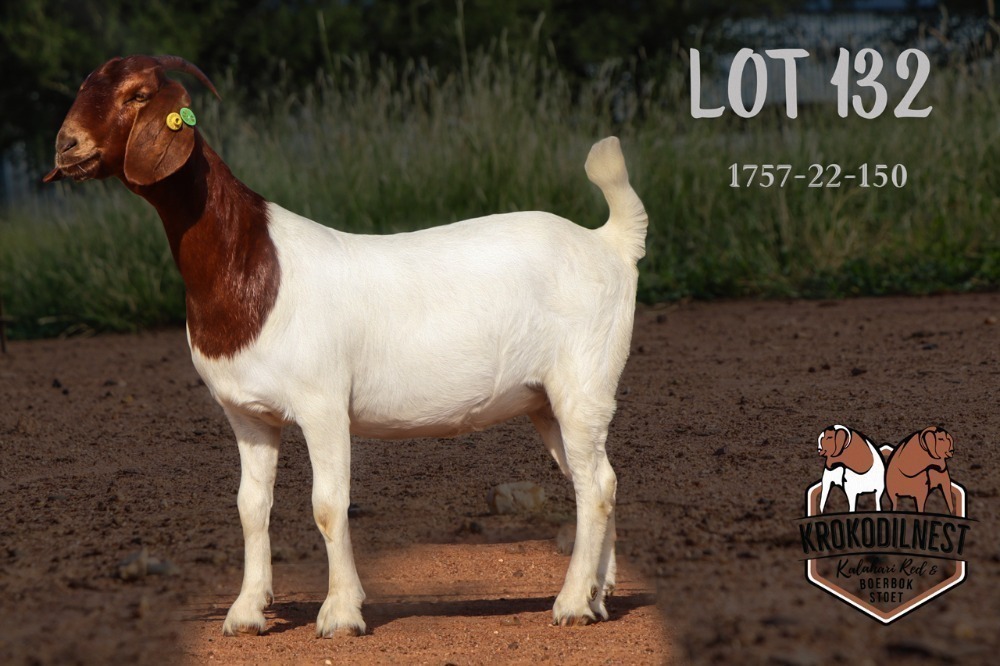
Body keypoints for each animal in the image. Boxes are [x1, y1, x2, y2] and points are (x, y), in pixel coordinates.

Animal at [43, 55, 648, 636]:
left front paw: (339, 615)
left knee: (595, 485)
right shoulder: (247, 415)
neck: (252, 263)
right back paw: (600, 593)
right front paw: (246, 613)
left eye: (138, 95)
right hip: (546, 401)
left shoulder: (323, 404)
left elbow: (329, 506)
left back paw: (571, 604)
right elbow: (250, 508)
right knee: (599, 479)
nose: (66, 146)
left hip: (583, 381)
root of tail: (611, 243)